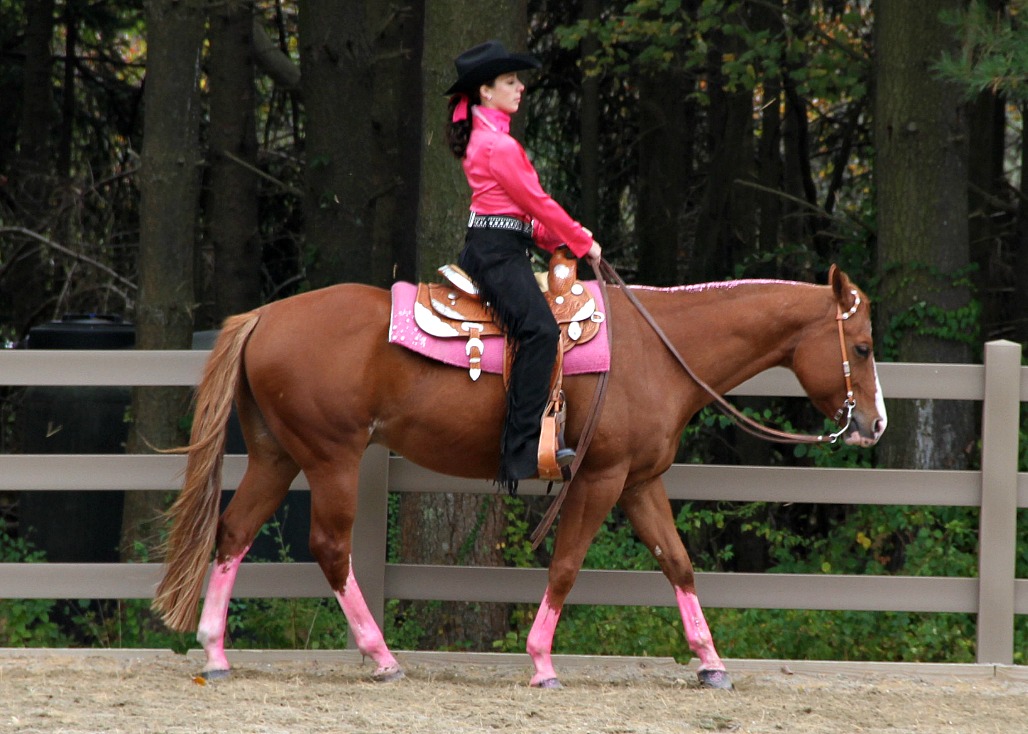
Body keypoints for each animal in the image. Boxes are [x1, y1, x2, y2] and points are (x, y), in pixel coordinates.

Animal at [153, 264, 887, 690]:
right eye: (861, 346)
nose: (875, 425)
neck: (657, 351)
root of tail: (264, 317)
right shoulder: (599, 479)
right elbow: (565, 567)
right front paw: (540, 663)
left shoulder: (639, 481)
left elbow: (677, 563)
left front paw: (711, 664)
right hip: (332, 456)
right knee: (330, 549)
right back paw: (381, 657)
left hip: (278, 455)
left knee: (233, 532)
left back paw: (215, 653)